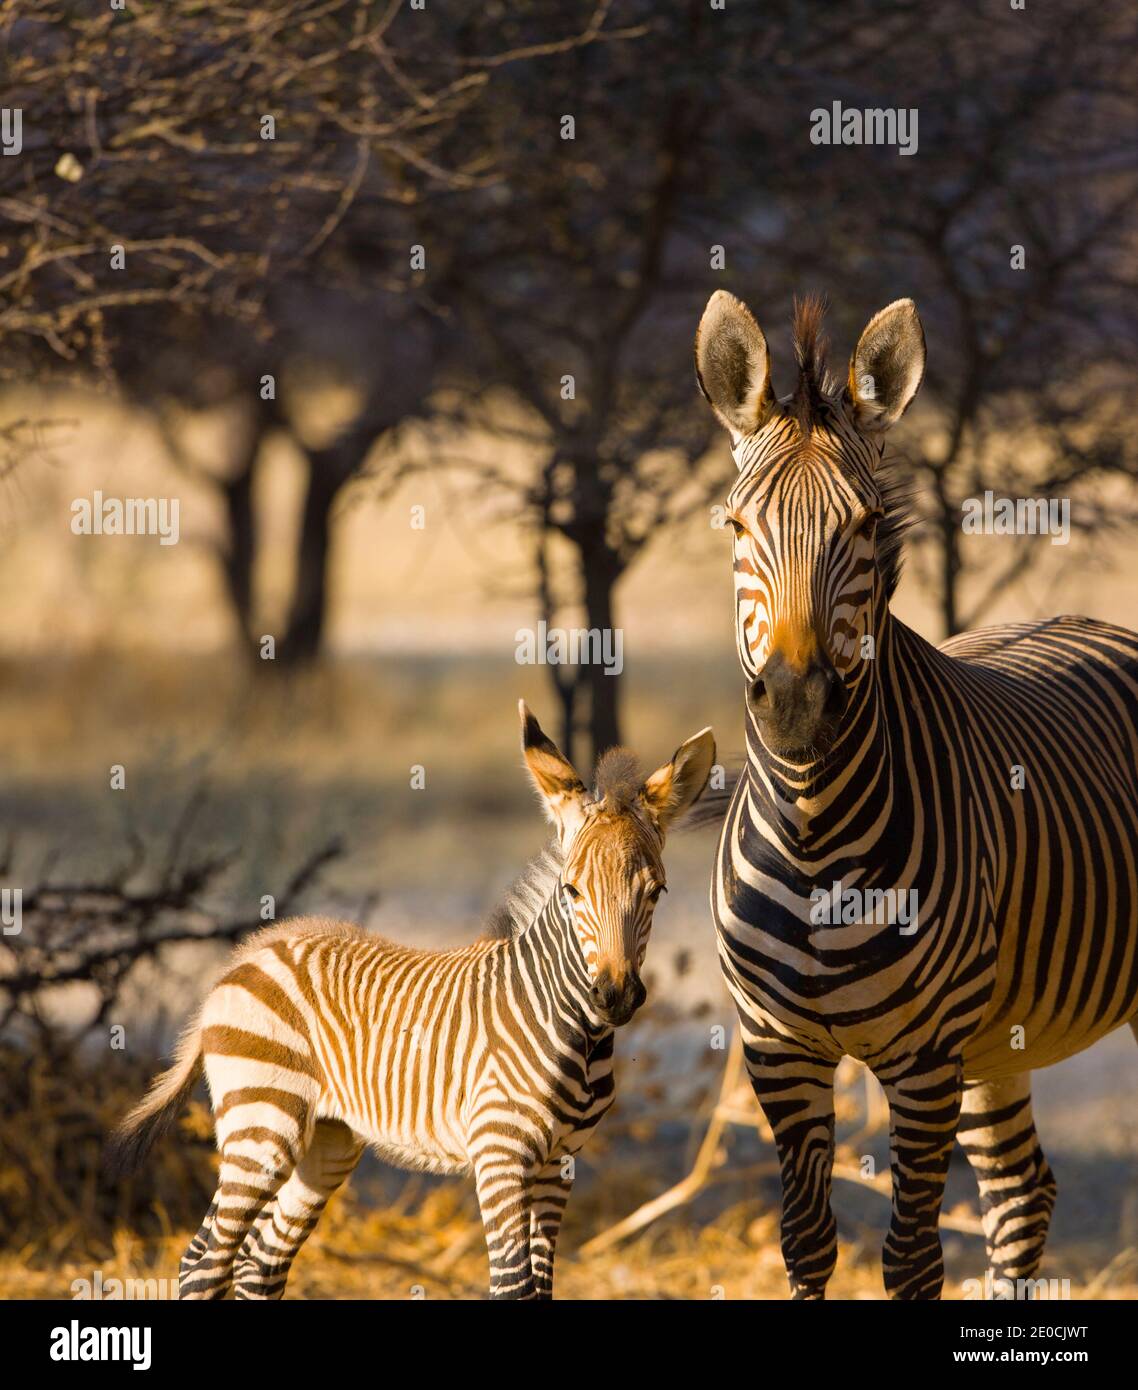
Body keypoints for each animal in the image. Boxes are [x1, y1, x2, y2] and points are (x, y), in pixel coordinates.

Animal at [107, 703, 715, 1300]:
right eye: (573, 891)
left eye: (656, 891)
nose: (614, 996)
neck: (573, 1030)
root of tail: (248, 954)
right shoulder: (499, 1155)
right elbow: (513, 1284)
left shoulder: (558, 1164)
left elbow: (541, 1287)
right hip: (262, 1123)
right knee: (204, 1260)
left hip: (327, 1140)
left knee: (260, 1261)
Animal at [693, 289, 1138, 1300]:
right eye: (736, 528)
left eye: (863, 526)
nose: (795, 703)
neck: (815, 834)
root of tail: (1100, 621)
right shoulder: (779, 1047)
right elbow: (808, 1239)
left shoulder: (925, 1055)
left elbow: (911, 1256)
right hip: (1000, 1036)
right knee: (1021, 1192)